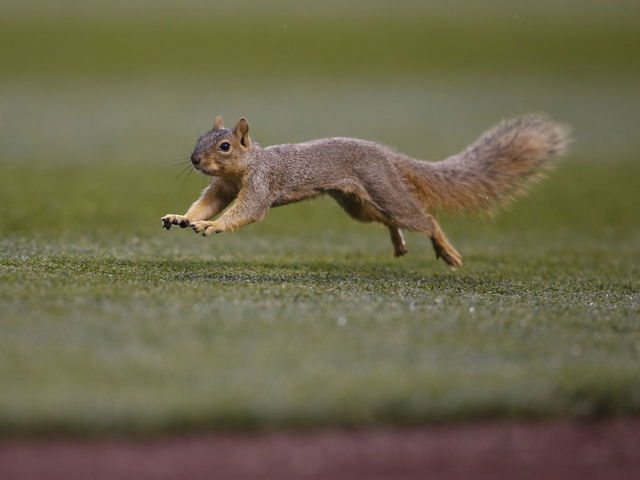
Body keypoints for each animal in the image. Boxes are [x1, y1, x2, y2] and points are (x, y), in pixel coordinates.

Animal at [161, 114, 570, 267]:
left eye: (224, 146)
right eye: (199, 139)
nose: (195, 160)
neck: (246, 165)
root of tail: (388, 155)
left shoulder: (260, 184)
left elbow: (244, 211)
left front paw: (213, 226)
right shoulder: (222, 186)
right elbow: (207, 203)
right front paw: (182, 217)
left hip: (384, 189)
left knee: (423, 218)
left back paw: (447, 251)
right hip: (355, 202)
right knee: (388, 220)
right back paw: (399, 244)